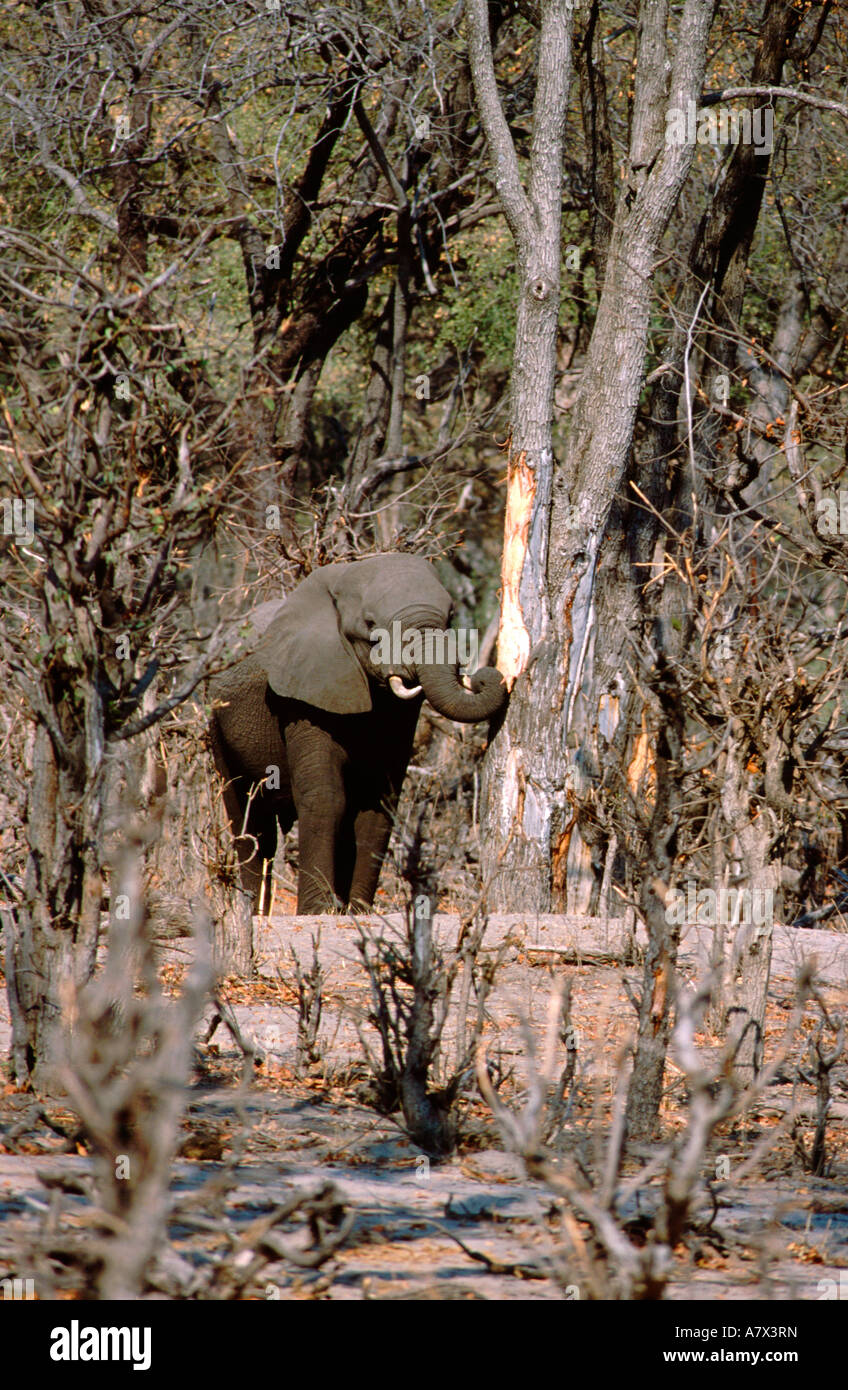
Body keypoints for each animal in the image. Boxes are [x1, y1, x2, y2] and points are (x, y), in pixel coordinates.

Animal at [209, 553, 508, 914]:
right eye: (370, 624)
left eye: (451, 616)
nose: (484, 677)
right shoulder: (303, 692)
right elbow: (327, 797)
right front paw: (319, 912)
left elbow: (378, 802)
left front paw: (357, 912)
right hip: (214, 720)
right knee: (249, 820)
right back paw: (253, 911)